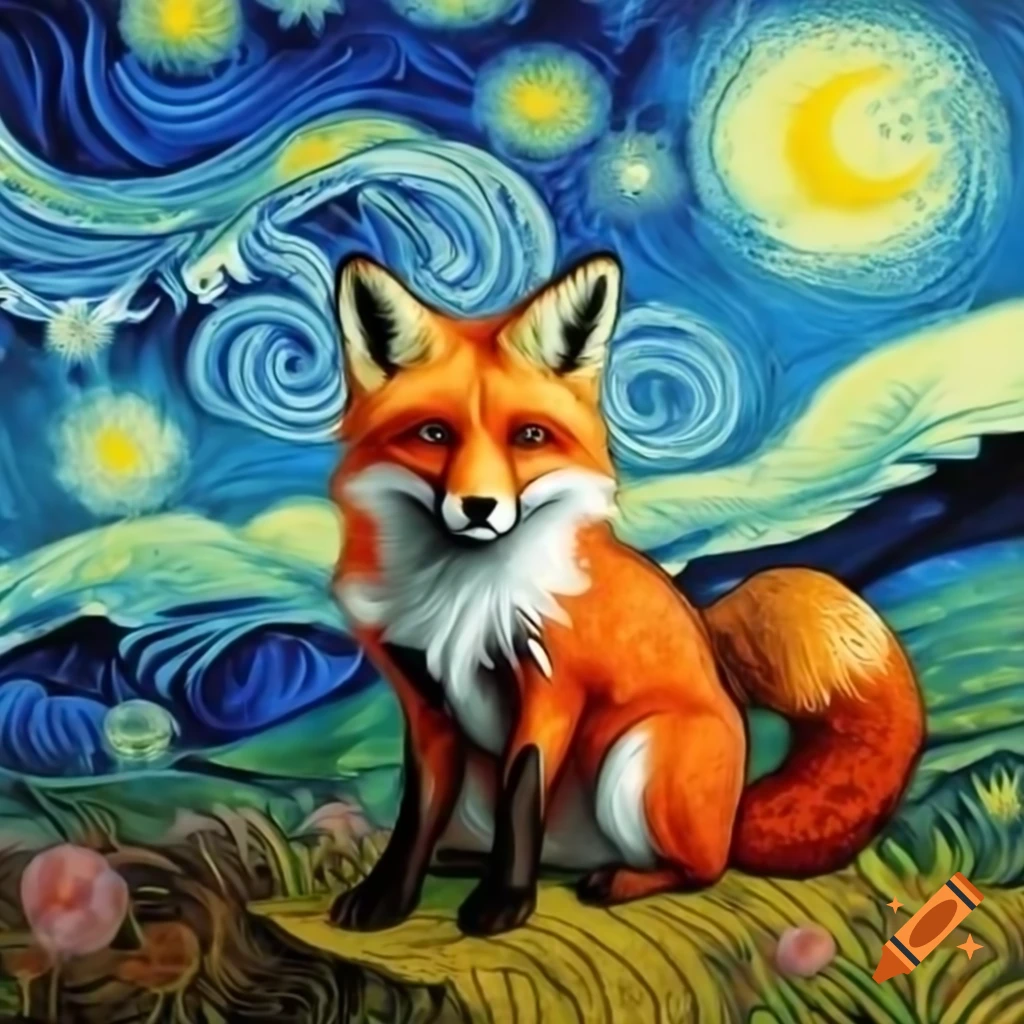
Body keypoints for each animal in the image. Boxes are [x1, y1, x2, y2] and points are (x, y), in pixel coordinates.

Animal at [327, 251, 926, 937]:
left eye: (528, 437)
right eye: (433, 434)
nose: (479, 508)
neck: (462, 599)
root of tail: (731, 819)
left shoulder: (552, 688)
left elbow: (522, 796)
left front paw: (503, 903)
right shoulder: (422, 702)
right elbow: (415, 816)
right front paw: (386, 899)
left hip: (638, 756)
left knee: (702, 870)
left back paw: (620, 880)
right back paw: (469, 862)